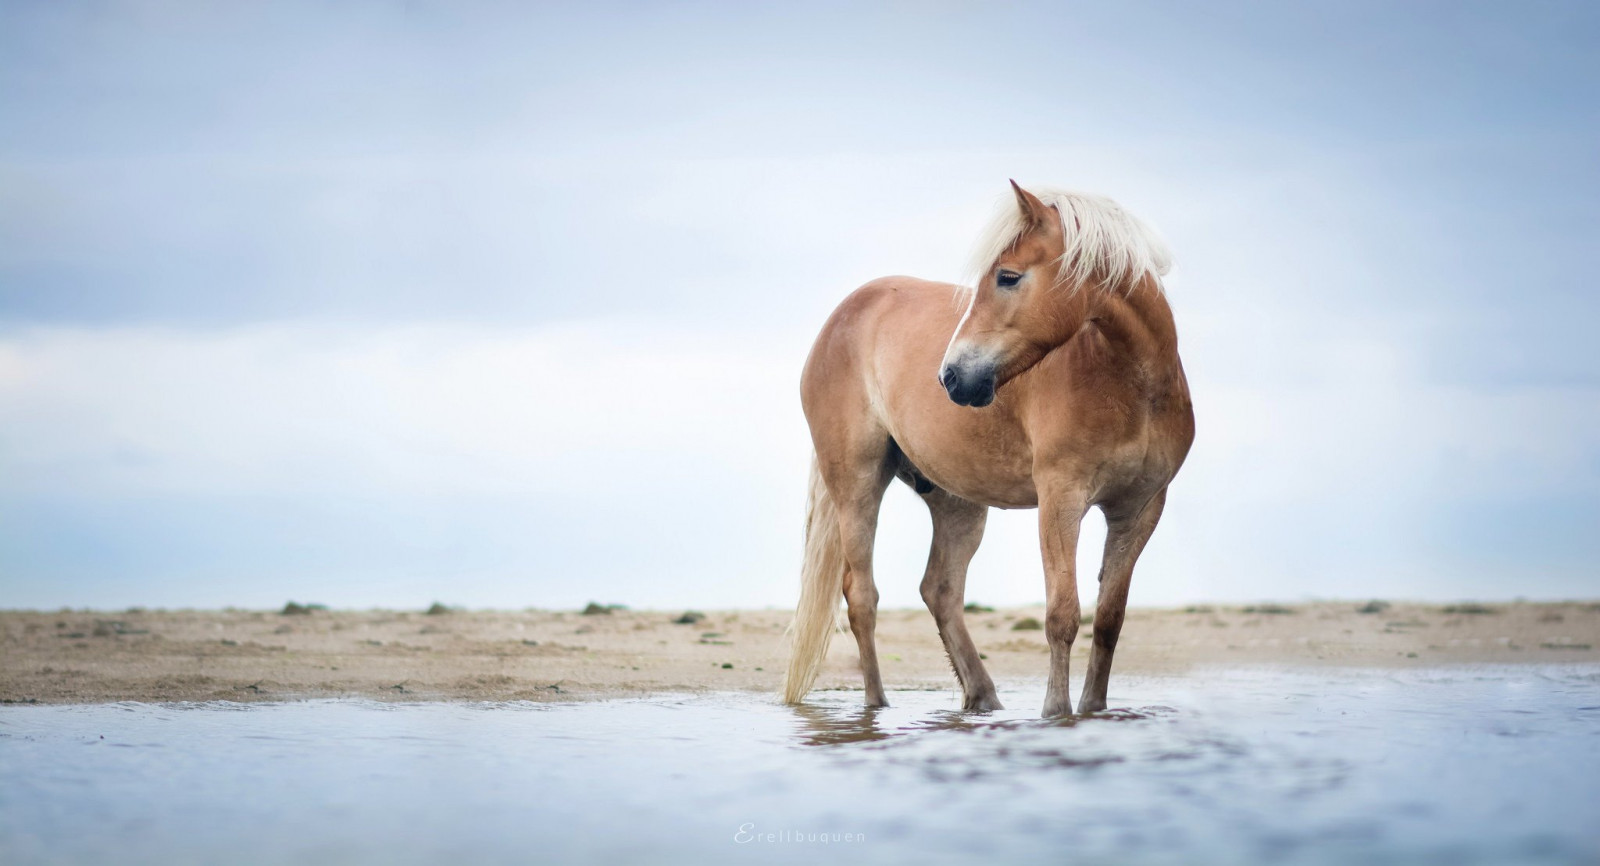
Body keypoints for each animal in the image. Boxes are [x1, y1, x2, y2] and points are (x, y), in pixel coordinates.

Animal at [782, 182, 1194, 718]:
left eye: (1008, 276)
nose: (951, 377)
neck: (1132, 385)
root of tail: (842, 317)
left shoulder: (1140, 509)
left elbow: (1108, 619)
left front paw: (1093, 710)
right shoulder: (1061, 499)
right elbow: (1063, 614)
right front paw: (1056, 713)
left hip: (956, 502)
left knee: (940, 590)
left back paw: (983, 698)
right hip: (857, 483)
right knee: (862, 597)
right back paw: (877, 705)